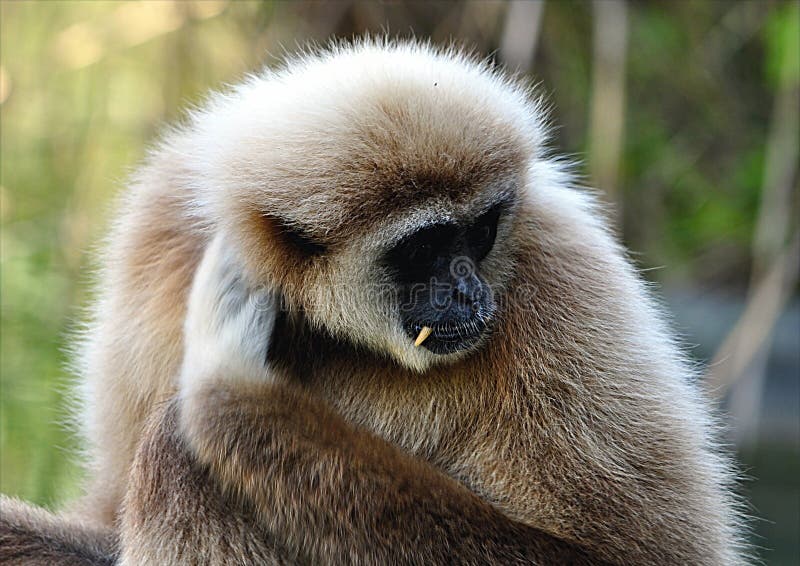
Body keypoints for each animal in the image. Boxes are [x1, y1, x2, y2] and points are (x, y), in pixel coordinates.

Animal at [0, 39, 747, 564]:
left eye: (481, 231)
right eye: (423, 247)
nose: (469, 289)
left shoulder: (562, 270)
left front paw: (231, 392)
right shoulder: (156, 246)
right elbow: (105, 520)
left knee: (177, 449)